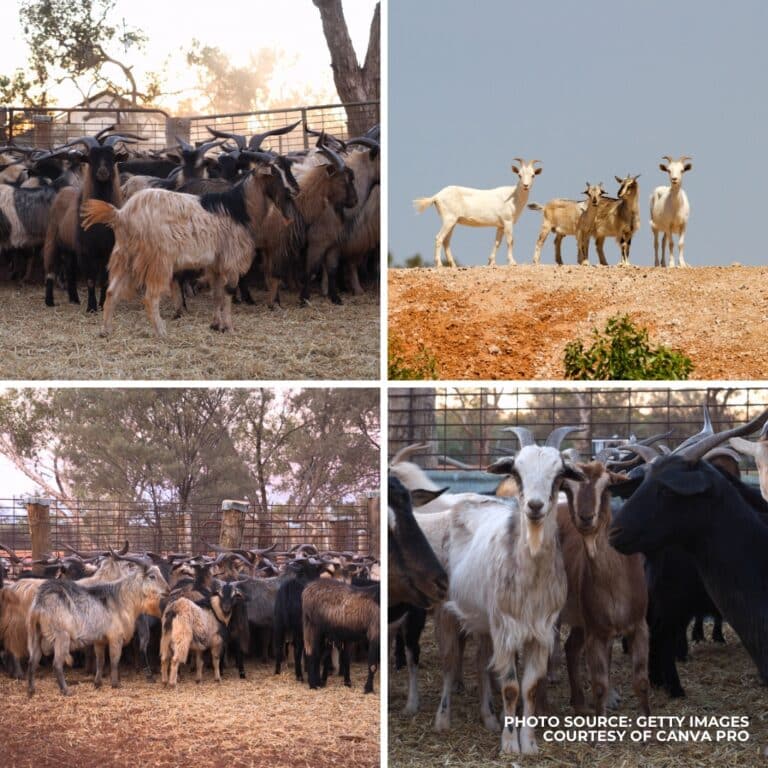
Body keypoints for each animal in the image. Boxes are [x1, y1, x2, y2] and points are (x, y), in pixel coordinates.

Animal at [27, 563, 169, 695]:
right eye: (152, 576)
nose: (167, 590)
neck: (121, 599)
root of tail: (40, 601)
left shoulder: (99, 640)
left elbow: (100, 661)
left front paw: (97, 683)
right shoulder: (115, 637)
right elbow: (114, 660)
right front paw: (116, 684)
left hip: (36, 634)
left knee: (33, 661)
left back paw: (31, 690)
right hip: (62, 636)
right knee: (56, 664)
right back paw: (66, 690)